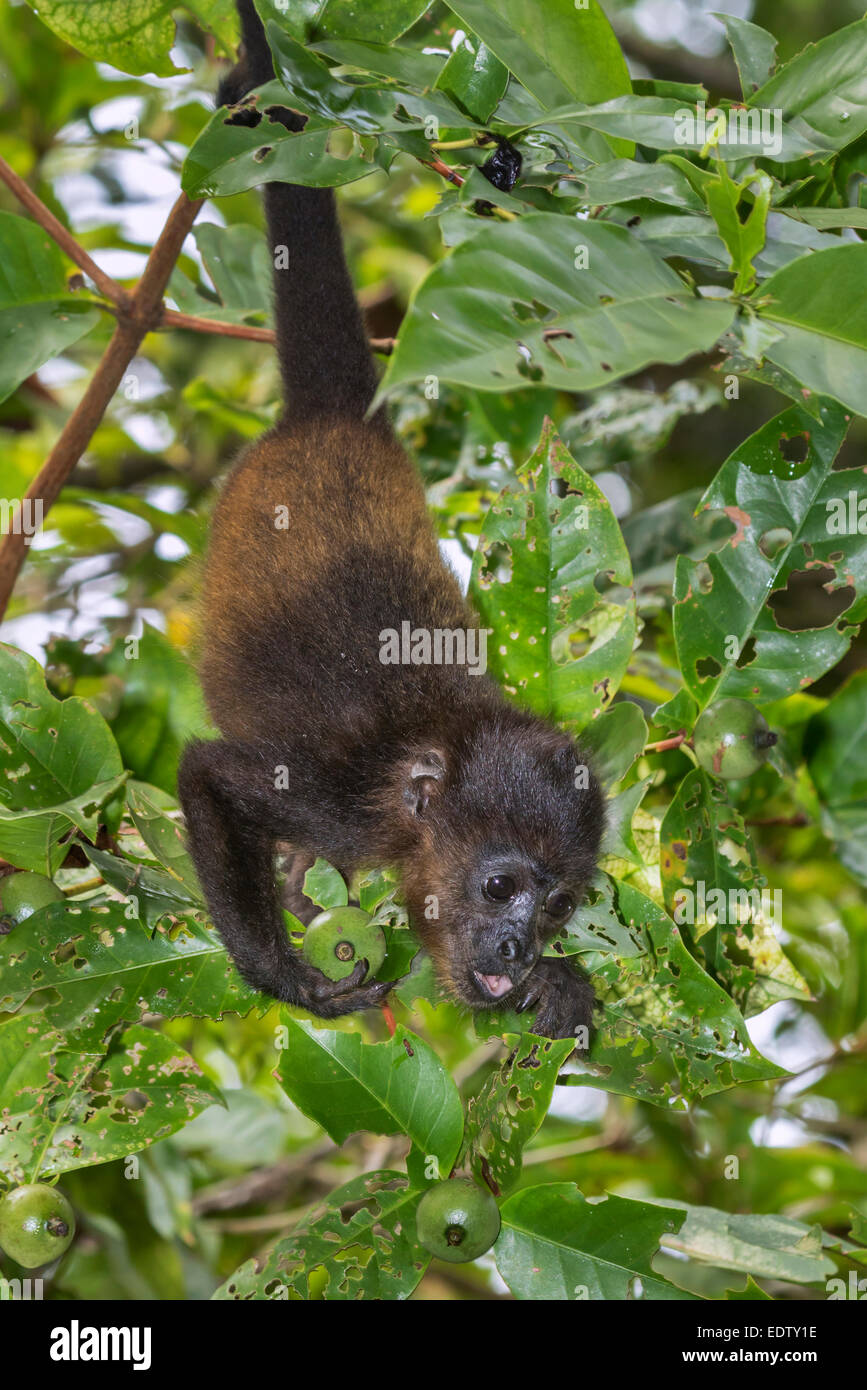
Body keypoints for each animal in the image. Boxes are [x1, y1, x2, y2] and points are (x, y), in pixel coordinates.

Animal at [177, 0, 605, 1041]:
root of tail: (336, 413)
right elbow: (209, 776)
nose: (518, 948)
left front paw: (560, 988)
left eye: (561, 903)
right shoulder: (338, 795)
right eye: (499, 888)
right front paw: (282, 975)